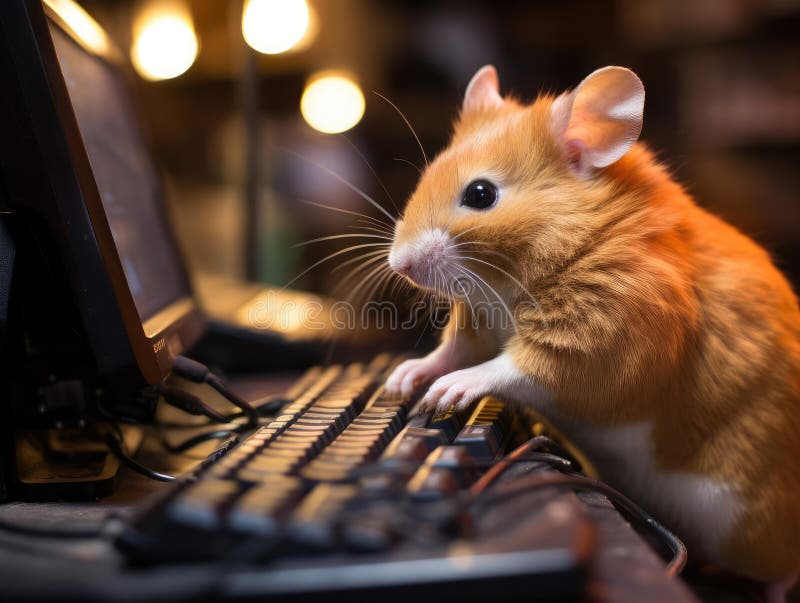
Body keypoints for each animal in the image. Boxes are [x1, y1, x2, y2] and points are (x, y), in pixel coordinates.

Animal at [383, 64, 800, 599]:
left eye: (480, 194)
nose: (399, 264)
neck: (505, 286)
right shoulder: (475, 322)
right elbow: (451, 353)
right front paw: (403, 376)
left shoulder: (599, 341)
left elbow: (510, 368)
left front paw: (448, 390)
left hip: (753, 530)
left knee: (783, 572)